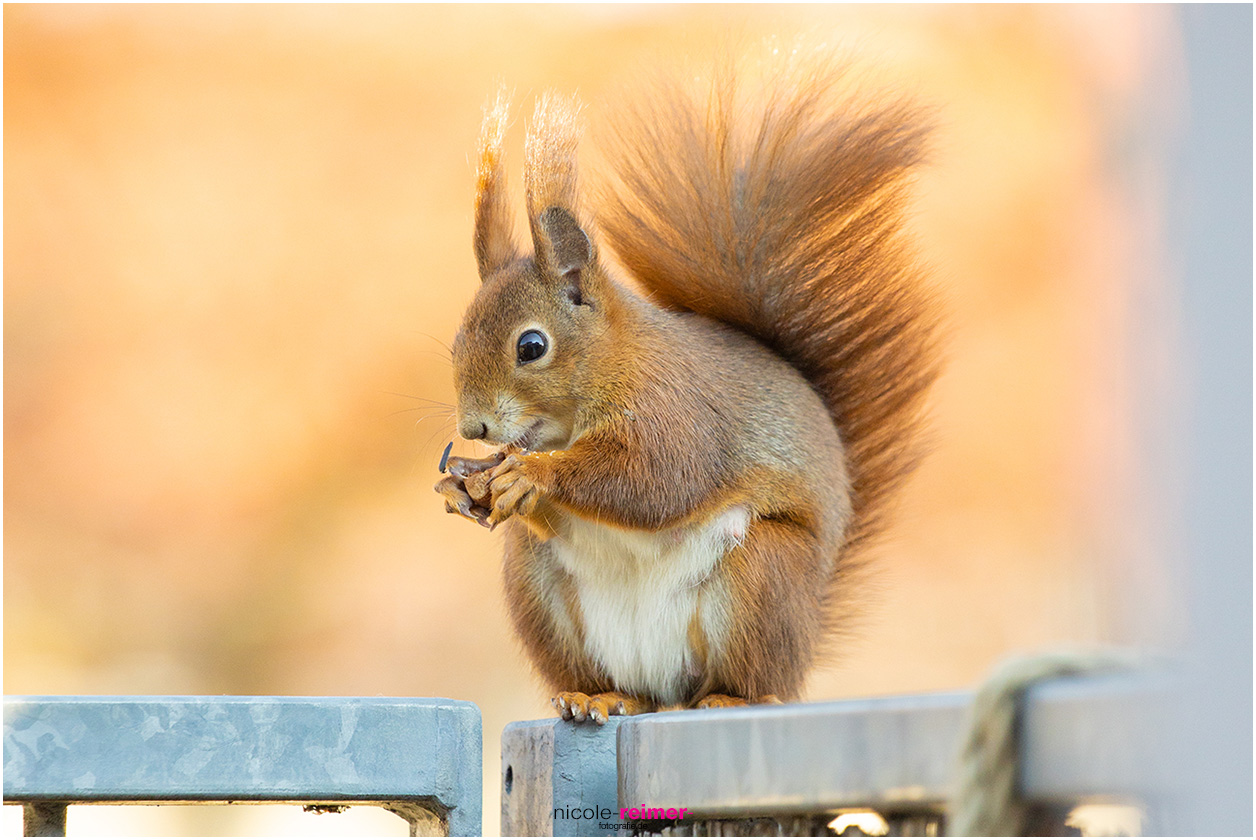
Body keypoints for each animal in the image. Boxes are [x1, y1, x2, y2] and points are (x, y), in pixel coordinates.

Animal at [434, 52, 940, 724]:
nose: (474, 428)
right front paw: (463, 482)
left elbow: (655, 478)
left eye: (531, 347)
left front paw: (531, 475)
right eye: (457, 342)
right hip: (538, 588)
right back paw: (595, 695)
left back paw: (728, 697)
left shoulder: (676, 410)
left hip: (759, 579)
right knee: (617, 682)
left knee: (746, 678)